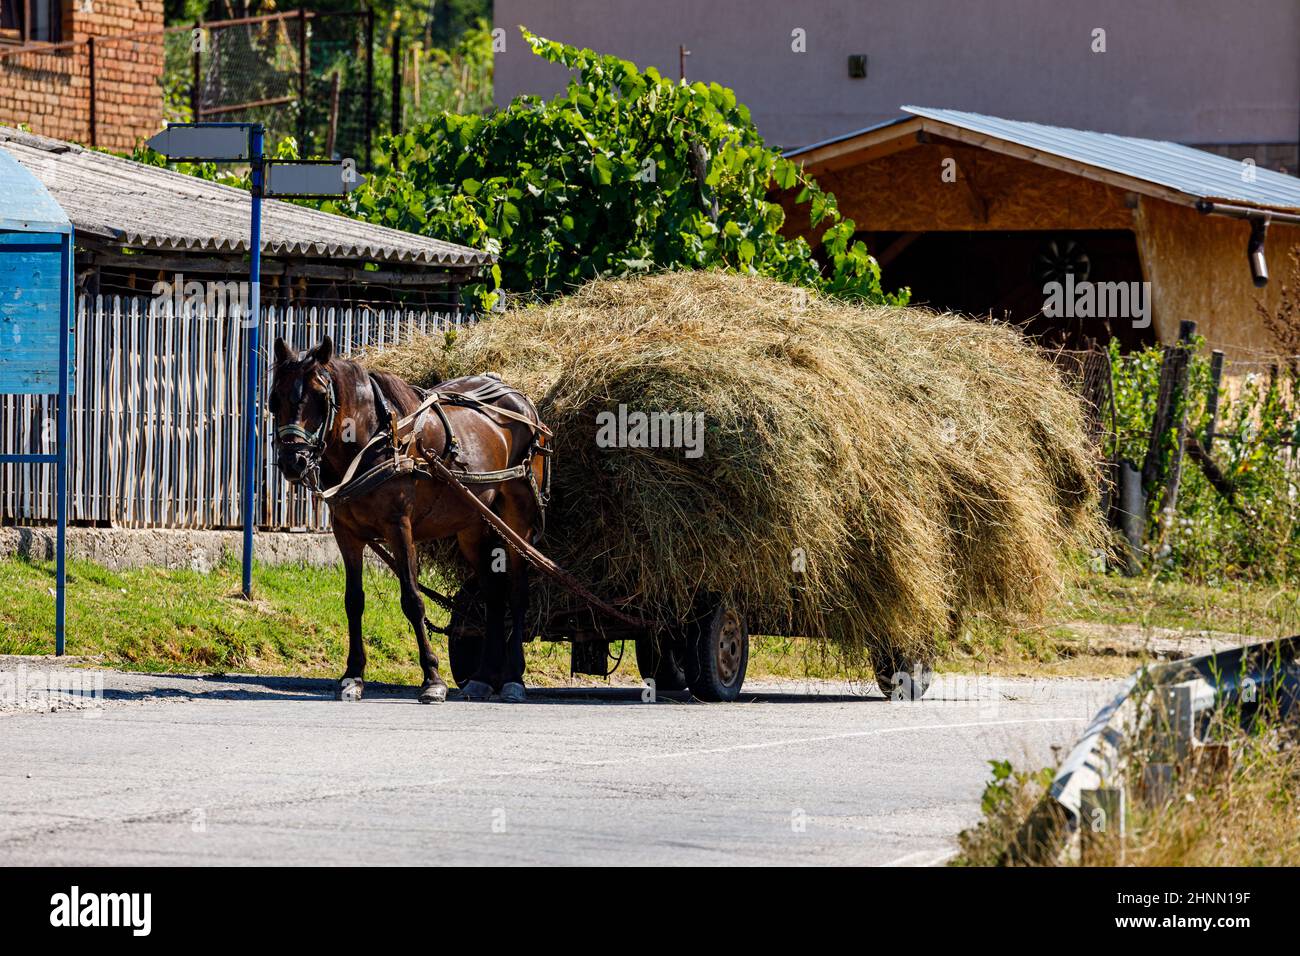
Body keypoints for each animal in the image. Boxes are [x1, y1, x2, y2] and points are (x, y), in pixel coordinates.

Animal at [268, 335, 550, 704]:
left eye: (319, 397)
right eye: (274, 399)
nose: (293, 461)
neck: (372, 441)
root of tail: (520, 400)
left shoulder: (399, 528)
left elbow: (413, 600)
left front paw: (432, 679)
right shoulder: (347, 534)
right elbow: (353, 601)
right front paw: (353, 675)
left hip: (518, 521)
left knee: (516, 594)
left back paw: (514, 677)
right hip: (474, 525)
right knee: (492, 594)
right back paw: (484, 678)